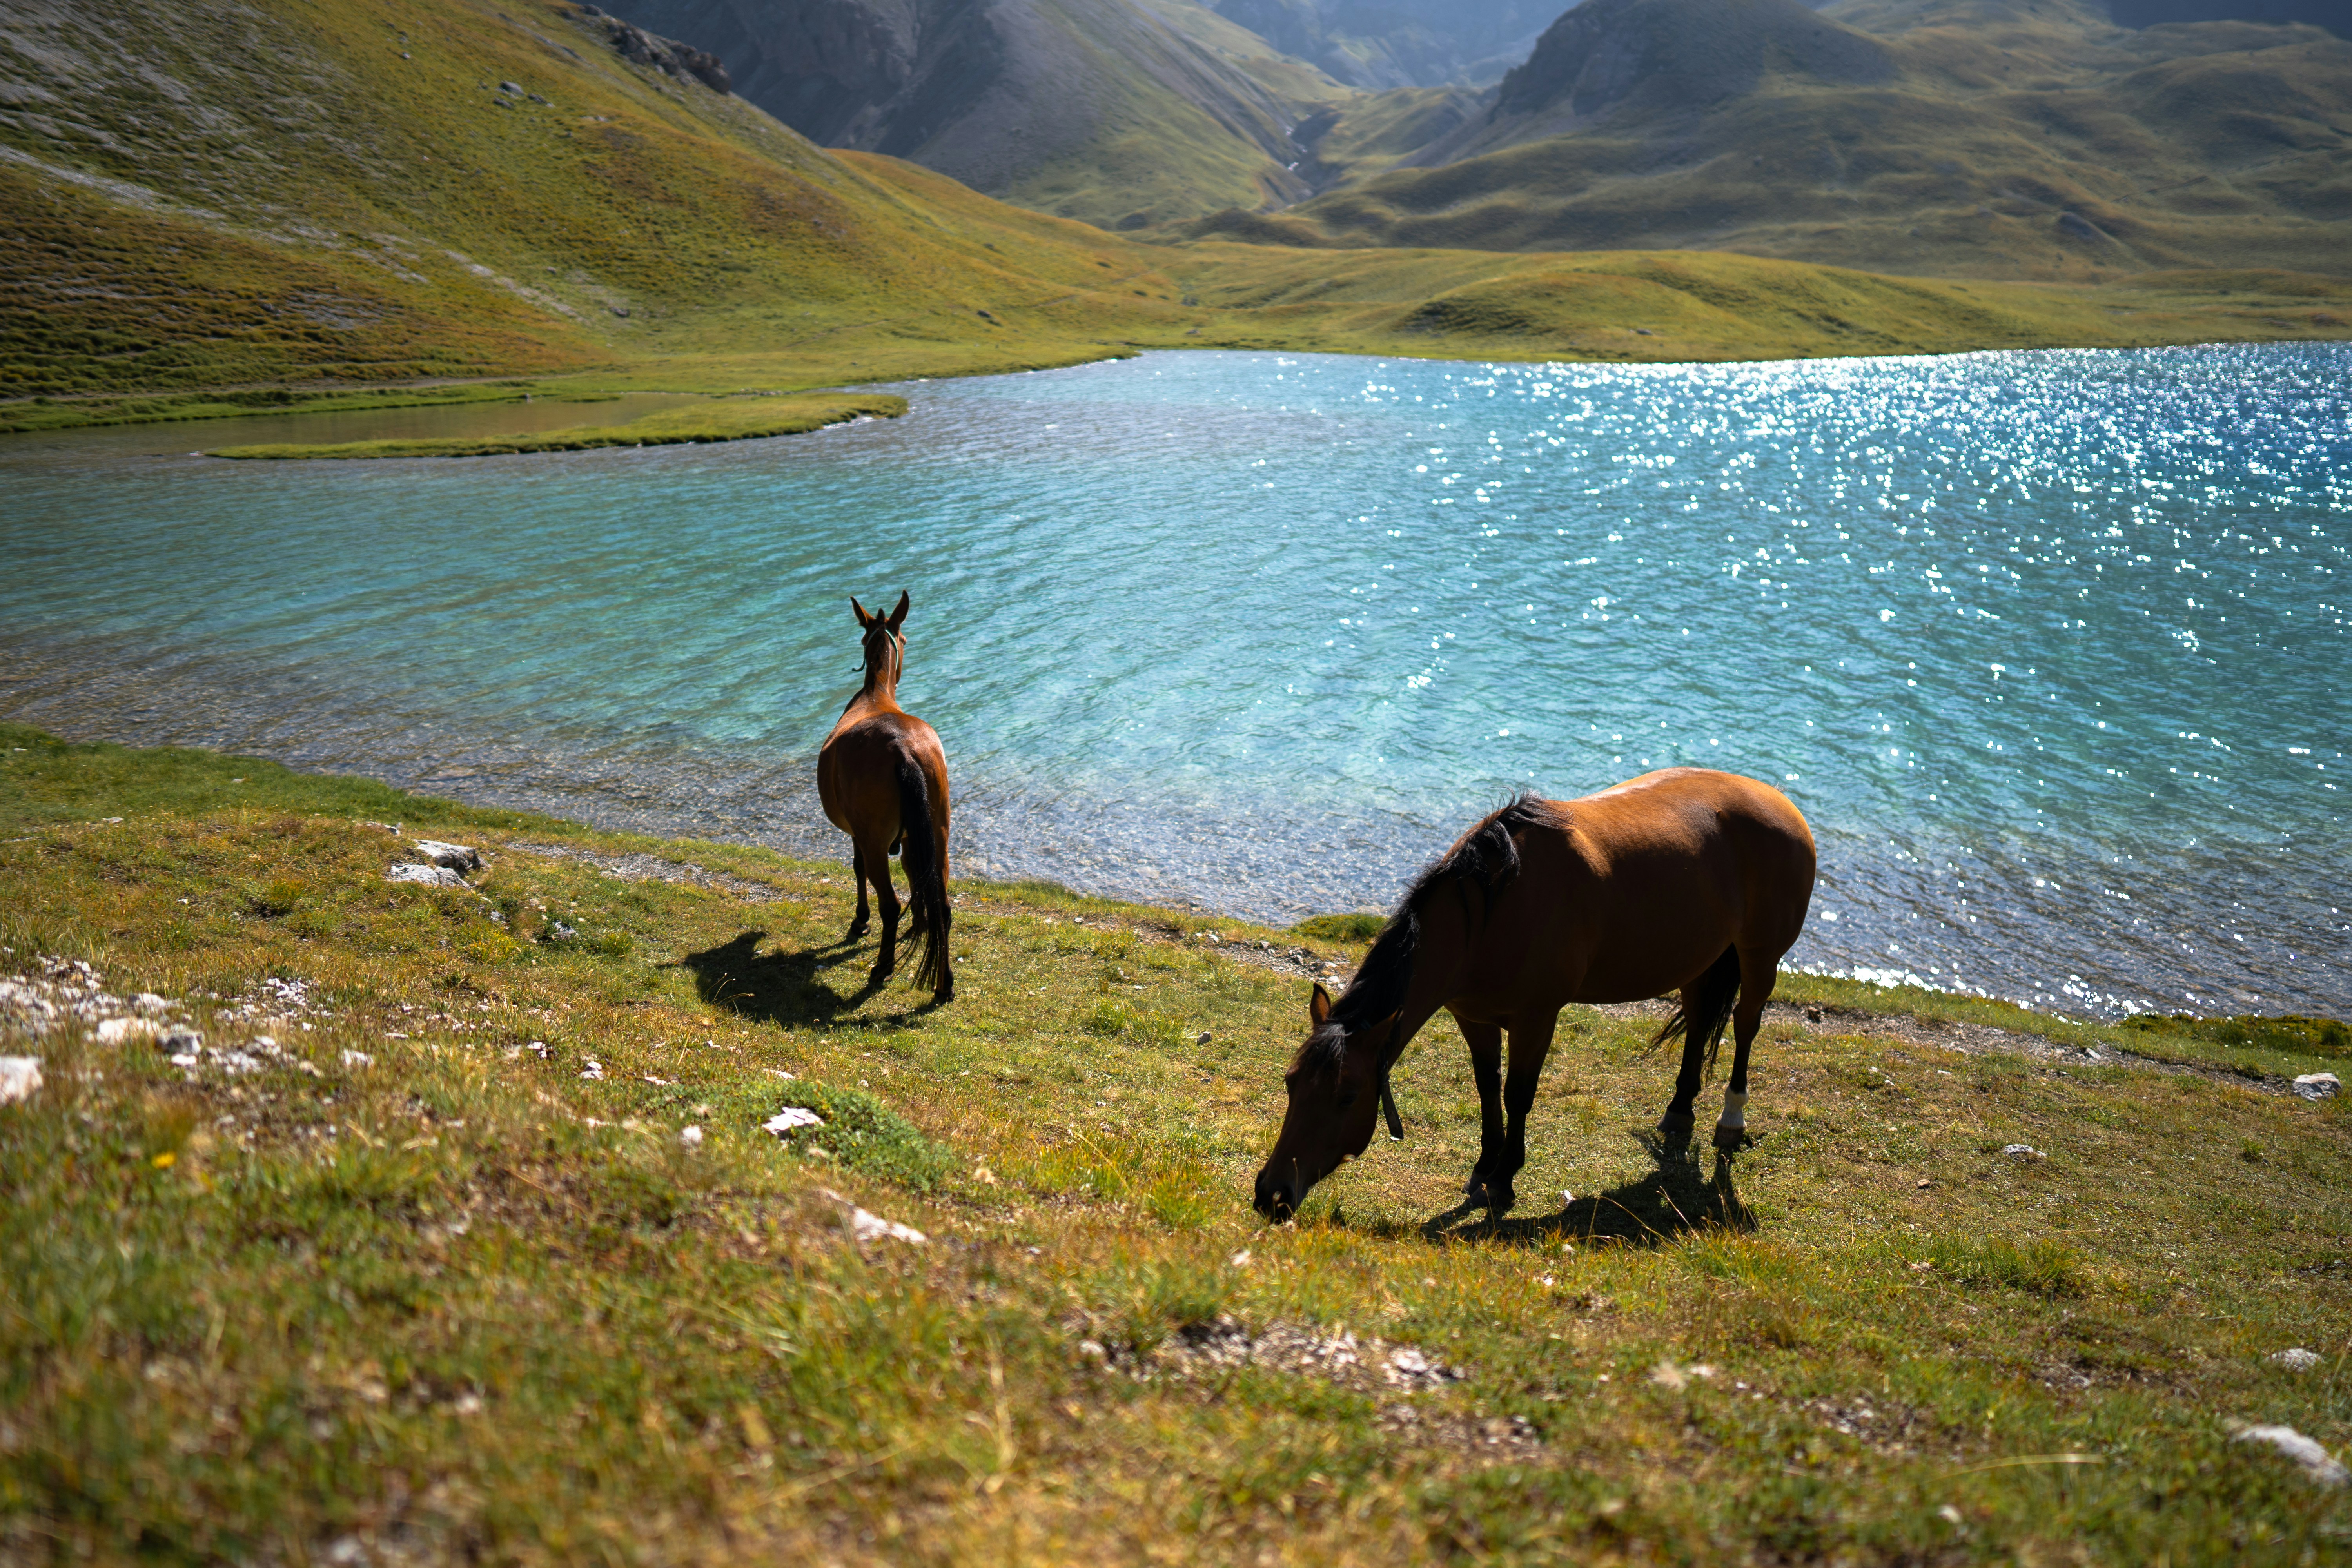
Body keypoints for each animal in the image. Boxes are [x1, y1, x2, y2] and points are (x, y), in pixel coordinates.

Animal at [815, 591, 954, 1001]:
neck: (873, 696)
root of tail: (902, 748)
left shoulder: (859, 834)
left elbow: (857, 868)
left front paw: (860, 921)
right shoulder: (912, 837)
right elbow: (917, 876)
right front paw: (920, 926)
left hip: (876, 839)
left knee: (890, 904)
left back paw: (883, 966)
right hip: (939, 831)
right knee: (943, 903)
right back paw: (944, 984)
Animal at [1252, 768, 1815, 1221]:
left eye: (1347, 1095)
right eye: (1290, 1083)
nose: (1272, 1195)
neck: (1490, 913)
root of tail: (1780, 802)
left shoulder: (1536, 1019)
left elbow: (1517, 1094)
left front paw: (1504, 1179)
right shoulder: (1473, 1017)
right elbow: (1486, 1088)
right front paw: (1485, 1166)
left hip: (1760, 956)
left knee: (1746, 1025)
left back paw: (1731, 1120)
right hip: (1698, 958)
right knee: (1698, 1024)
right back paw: (1679, 1112)